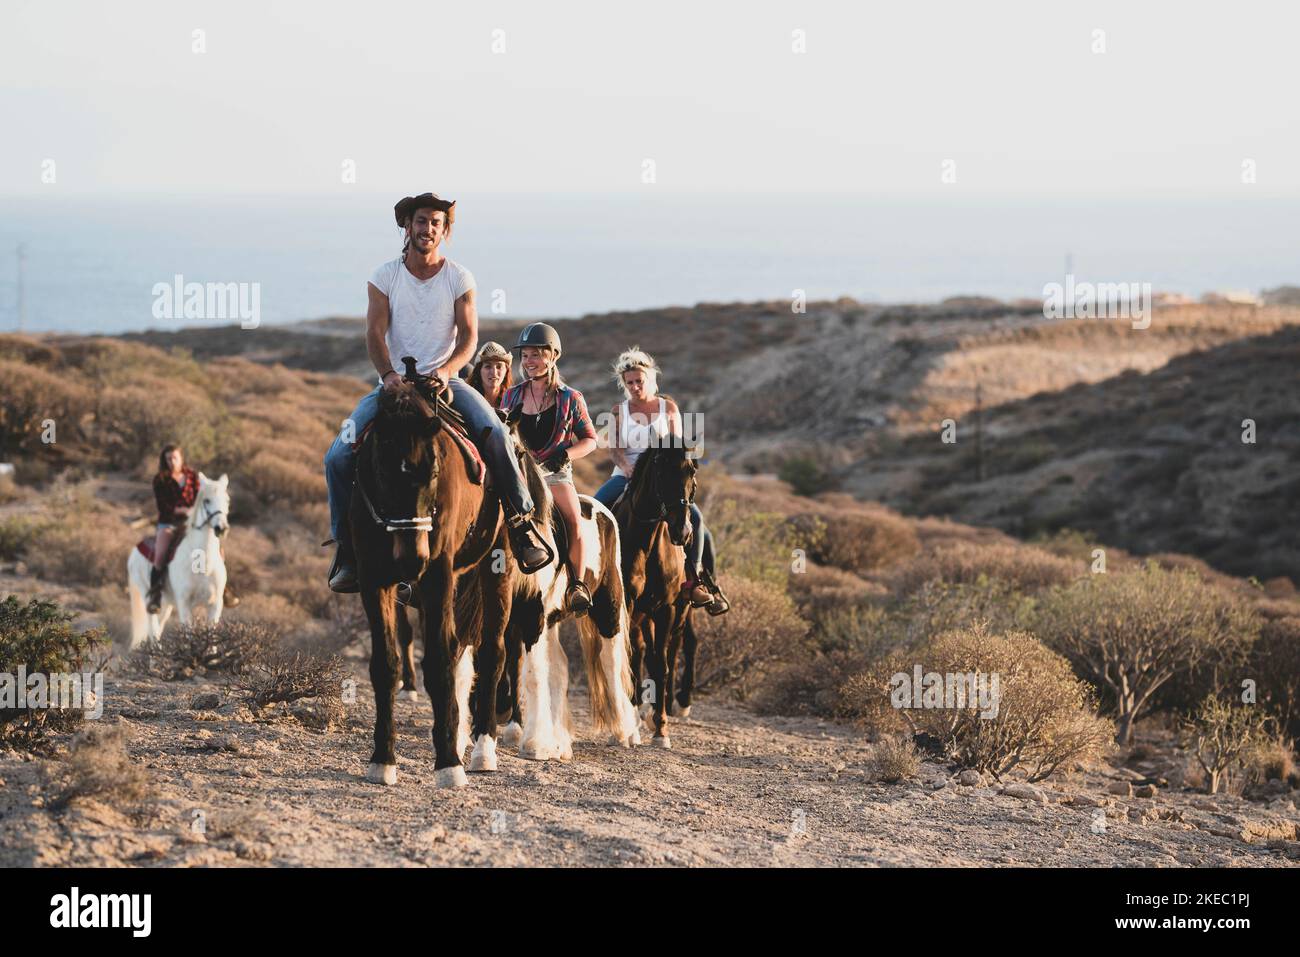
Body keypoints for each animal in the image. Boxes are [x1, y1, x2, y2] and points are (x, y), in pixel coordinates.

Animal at [126, 472, 231, 650]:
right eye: (207, 500)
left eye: (227, 500)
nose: (221, 528)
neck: (202, 565)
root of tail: (135, 550)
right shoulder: (184, 604)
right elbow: (189, 636)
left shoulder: (215, 605)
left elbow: (212, 640)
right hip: (148, 598)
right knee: (153, 633)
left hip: (166, 605)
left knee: (157, 630)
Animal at [352, 372, 514, 790]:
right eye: (381, 471)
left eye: (436, 471)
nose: (412, 559)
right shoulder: (374, 579)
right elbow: (385, 665)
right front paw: (382, 760)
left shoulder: (437, 576)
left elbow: (440, 663)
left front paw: (448, 765)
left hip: (496, 572)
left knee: (492, 653)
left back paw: (482, 749)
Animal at [611, 444, 698, 748]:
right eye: (661, 471)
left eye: (692, 472)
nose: (682, 532)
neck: (646, 540)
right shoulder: (627, 604)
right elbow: (629, 658)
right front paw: (628, 728)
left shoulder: (666, 608)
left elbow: (660, 665)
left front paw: (661, 729)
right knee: (637, 654)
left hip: (675, 613)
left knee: (674, 649)